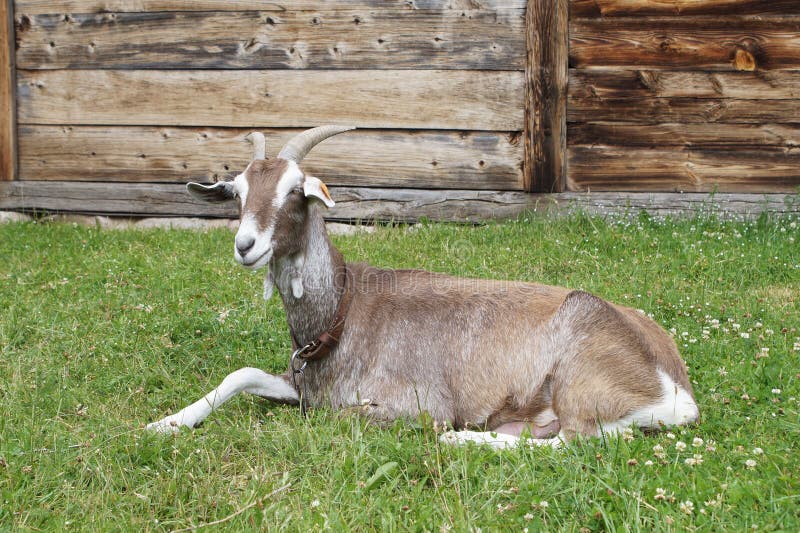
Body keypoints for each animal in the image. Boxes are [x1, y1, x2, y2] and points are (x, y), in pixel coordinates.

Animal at [146, 126, 699, 448]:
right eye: (237, 192)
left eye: (295, 190)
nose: (246, 245)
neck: (344, 309)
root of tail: (677, 393)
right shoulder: (303, 384)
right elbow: (239, 374)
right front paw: (166, 423)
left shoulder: (411, 403)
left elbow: (344, 418)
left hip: (577, 378)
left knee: (574, 442)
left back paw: (461, 442)